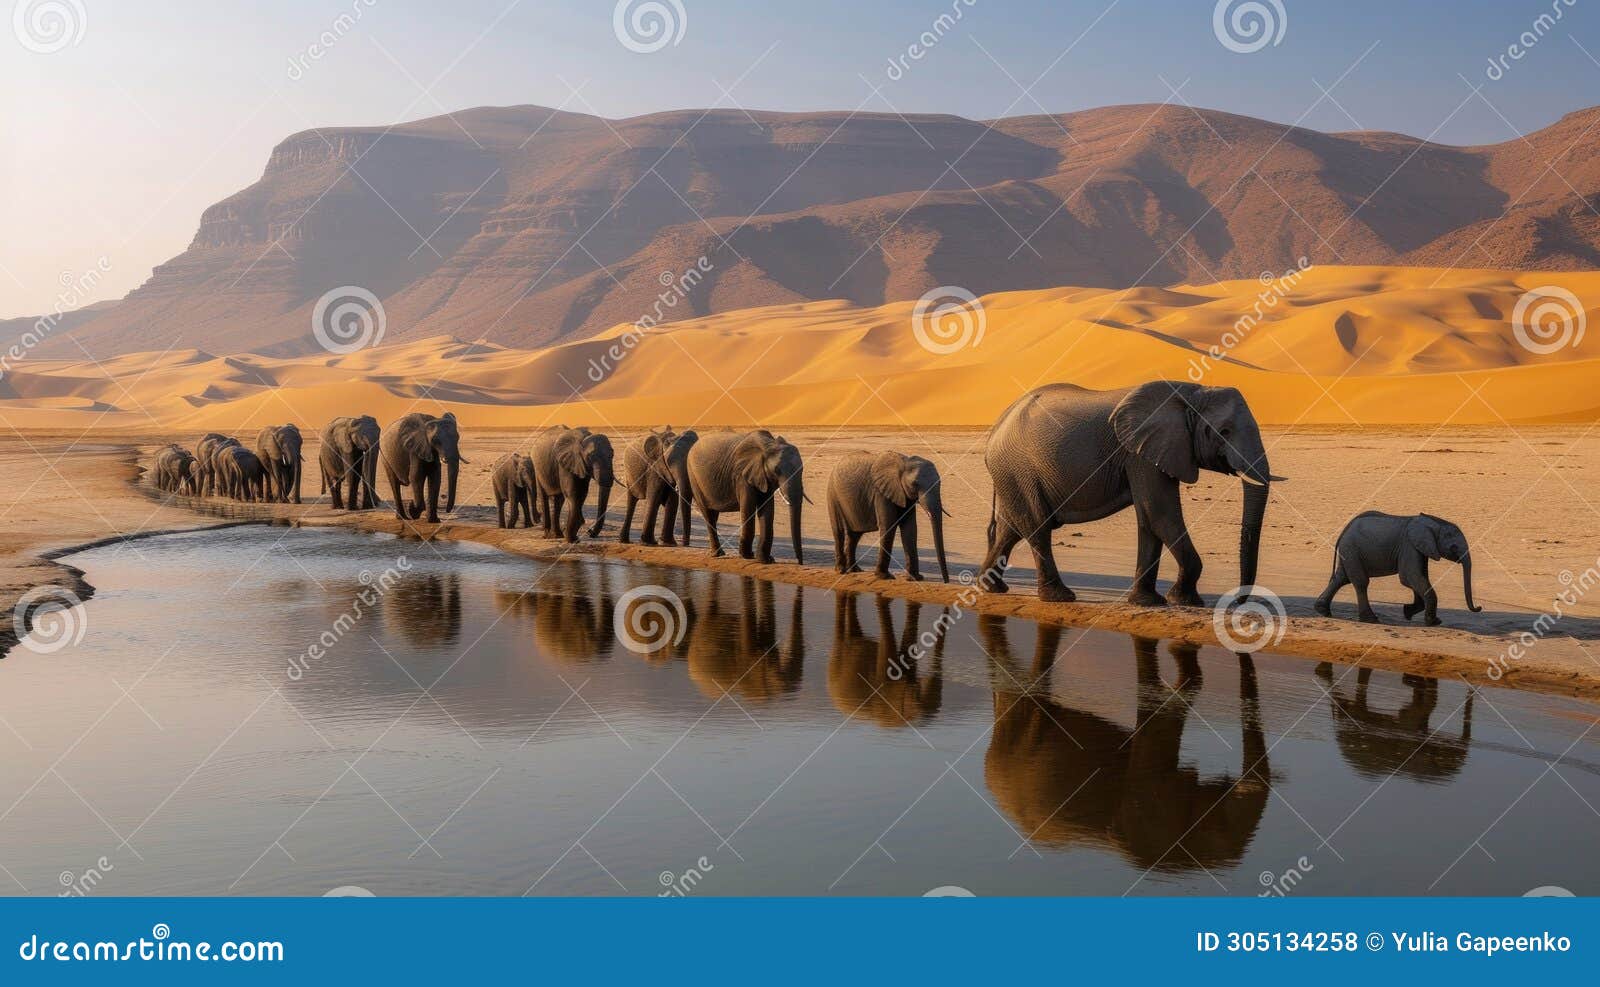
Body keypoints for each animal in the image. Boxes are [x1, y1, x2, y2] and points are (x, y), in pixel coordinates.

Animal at [680, 430, 807, 564]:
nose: (799, 562)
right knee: (708, 513)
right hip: (693, 477)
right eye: (777, 470)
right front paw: (748, 556)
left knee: (714, 514)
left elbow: (767, 511)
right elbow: (748, 509)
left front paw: (765, 560)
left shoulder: (763, 477)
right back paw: (718, 554)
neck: (767, 446)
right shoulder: (742, 476)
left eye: (802, 469)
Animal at [826, 451, 949, 582]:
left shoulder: (904, 495)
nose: (946, 581)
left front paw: (915, 578)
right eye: (915, 484)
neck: (904, 462)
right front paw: (884, 577)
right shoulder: (881, 493)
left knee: (855, 535)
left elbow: (910, 529)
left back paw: (855, 570)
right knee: (839, 531)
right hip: (832, 495)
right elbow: (889, 526)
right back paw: (841, 570)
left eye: (940, 483)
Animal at [980, 381, 1281, 606]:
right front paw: (1184, 601)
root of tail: (996, 428)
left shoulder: (1154, 450)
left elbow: (1148, 519)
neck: (1191, 392)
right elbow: (1161, 515)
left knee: (1011, 528)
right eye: (1224, 431)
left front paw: (1148, 602)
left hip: (1013, 475)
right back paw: (1059, 597)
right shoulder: (1140, 453)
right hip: (1018, 469)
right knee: (1037, 527)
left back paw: (992, 588)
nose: (1239, 602)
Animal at [1314, 512, 1481, 626]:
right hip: (1351, 549)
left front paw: (1408, 613)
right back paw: (1371, 620)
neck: (1432, 522)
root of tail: (1344, 530)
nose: (1479, 608)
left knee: (1341, 578)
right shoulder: (1409, 545)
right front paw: (1434, 622)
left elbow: (1418, 577)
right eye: (1454, 548)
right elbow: (1409, 577)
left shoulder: (1420, 549)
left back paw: (1323, 611)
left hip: (1349, 552)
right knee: (1360, 582)